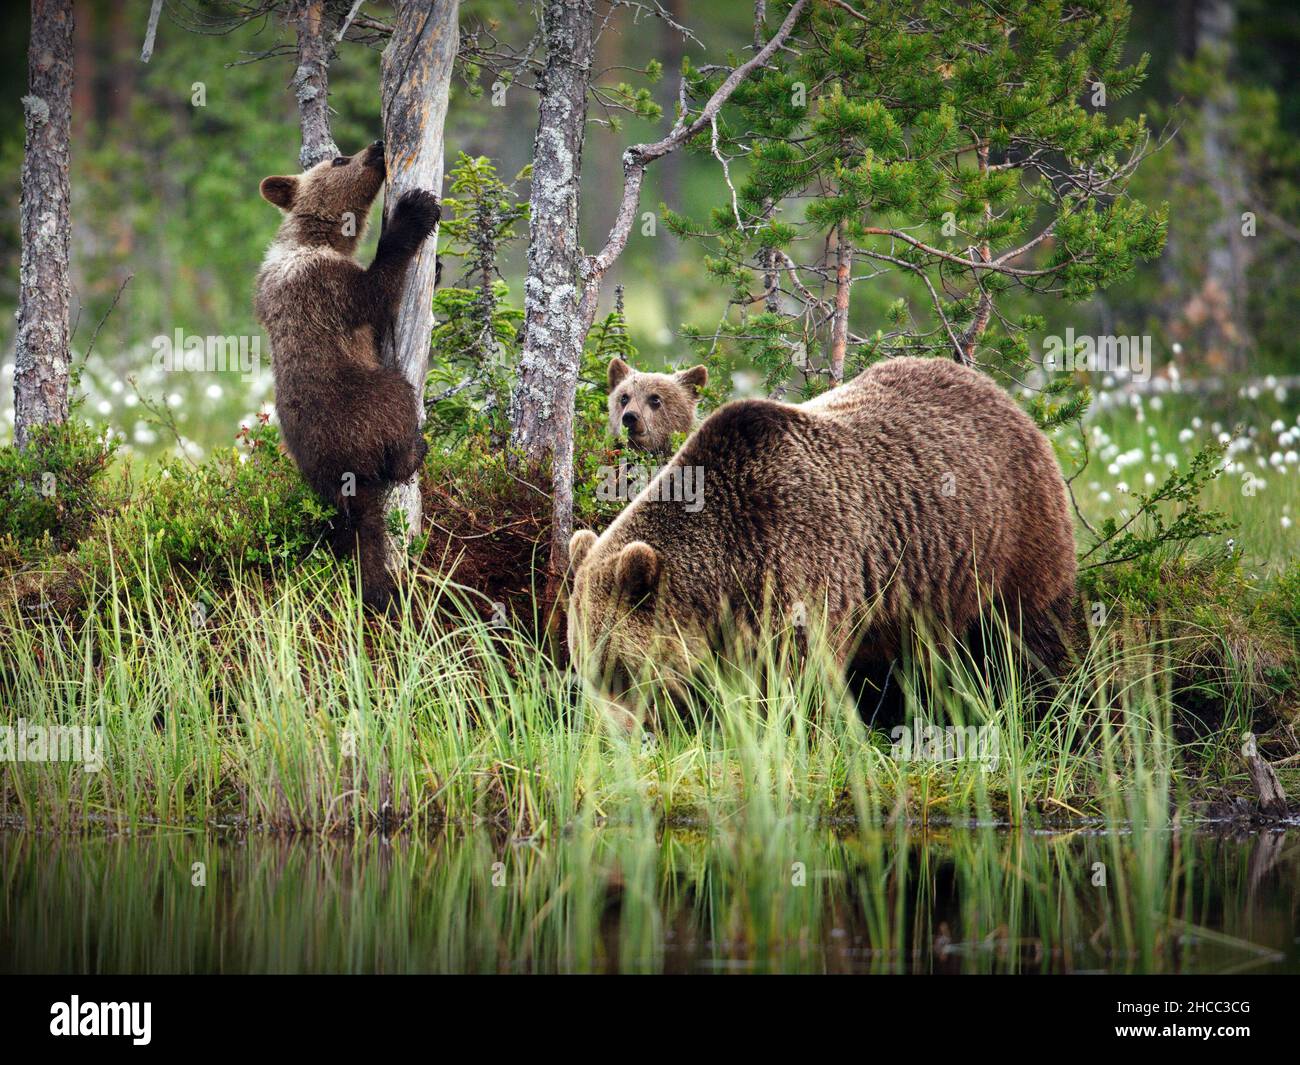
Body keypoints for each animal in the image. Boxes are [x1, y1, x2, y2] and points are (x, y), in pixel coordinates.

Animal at [254, 139, 440, 610]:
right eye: (339, 159)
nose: (376, 146)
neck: (321, 240)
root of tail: (345, 475)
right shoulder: (325, 286)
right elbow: (376, 292)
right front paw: (414, 211)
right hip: (359, 404)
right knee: (395, 403)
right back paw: (415, 447)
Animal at [568, 356, 1077, 730]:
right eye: (586, 668)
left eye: (618, 668)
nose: (618, 734)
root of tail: (1002, 395)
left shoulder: (798, 560)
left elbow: (798, 677)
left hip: (1010, 536)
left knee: (1036, 637)